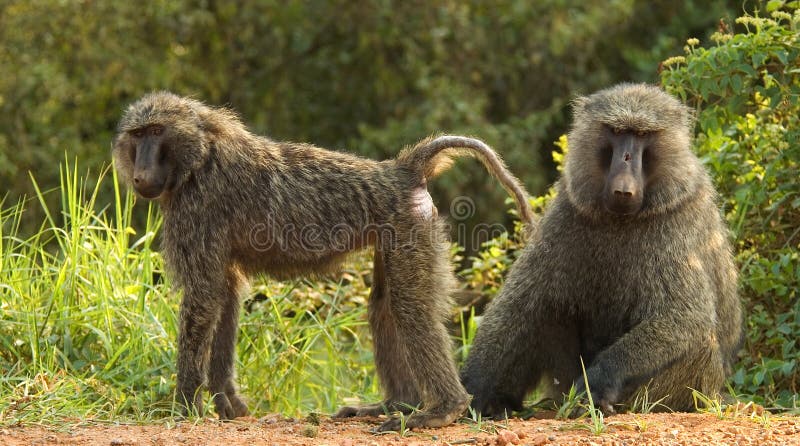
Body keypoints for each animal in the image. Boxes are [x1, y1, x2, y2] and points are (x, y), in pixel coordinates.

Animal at [112, 91, 534, 431]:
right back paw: (396, 404)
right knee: (384, 306)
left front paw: (184, 406)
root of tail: (401, 170)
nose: (142, 175)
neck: (201, 154)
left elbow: (202, 300)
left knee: (409, 308)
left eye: (156, 132)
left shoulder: (197, 210)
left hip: (411, 227)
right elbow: (224, 298)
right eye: (137, 135)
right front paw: (227, 403)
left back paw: (441, 410)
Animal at [460, 83, 743, 417]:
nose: (625, 161)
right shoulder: (568, 210)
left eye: (643, 134)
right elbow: (520, 303)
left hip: (680, 392)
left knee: (700, 343)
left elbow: (686, 316)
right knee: (545, 305)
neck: (621, 219)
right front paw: (473, 388)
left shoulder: (677, 223)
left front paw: (598, 382)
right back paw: (501, 402)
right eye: (616, 130)